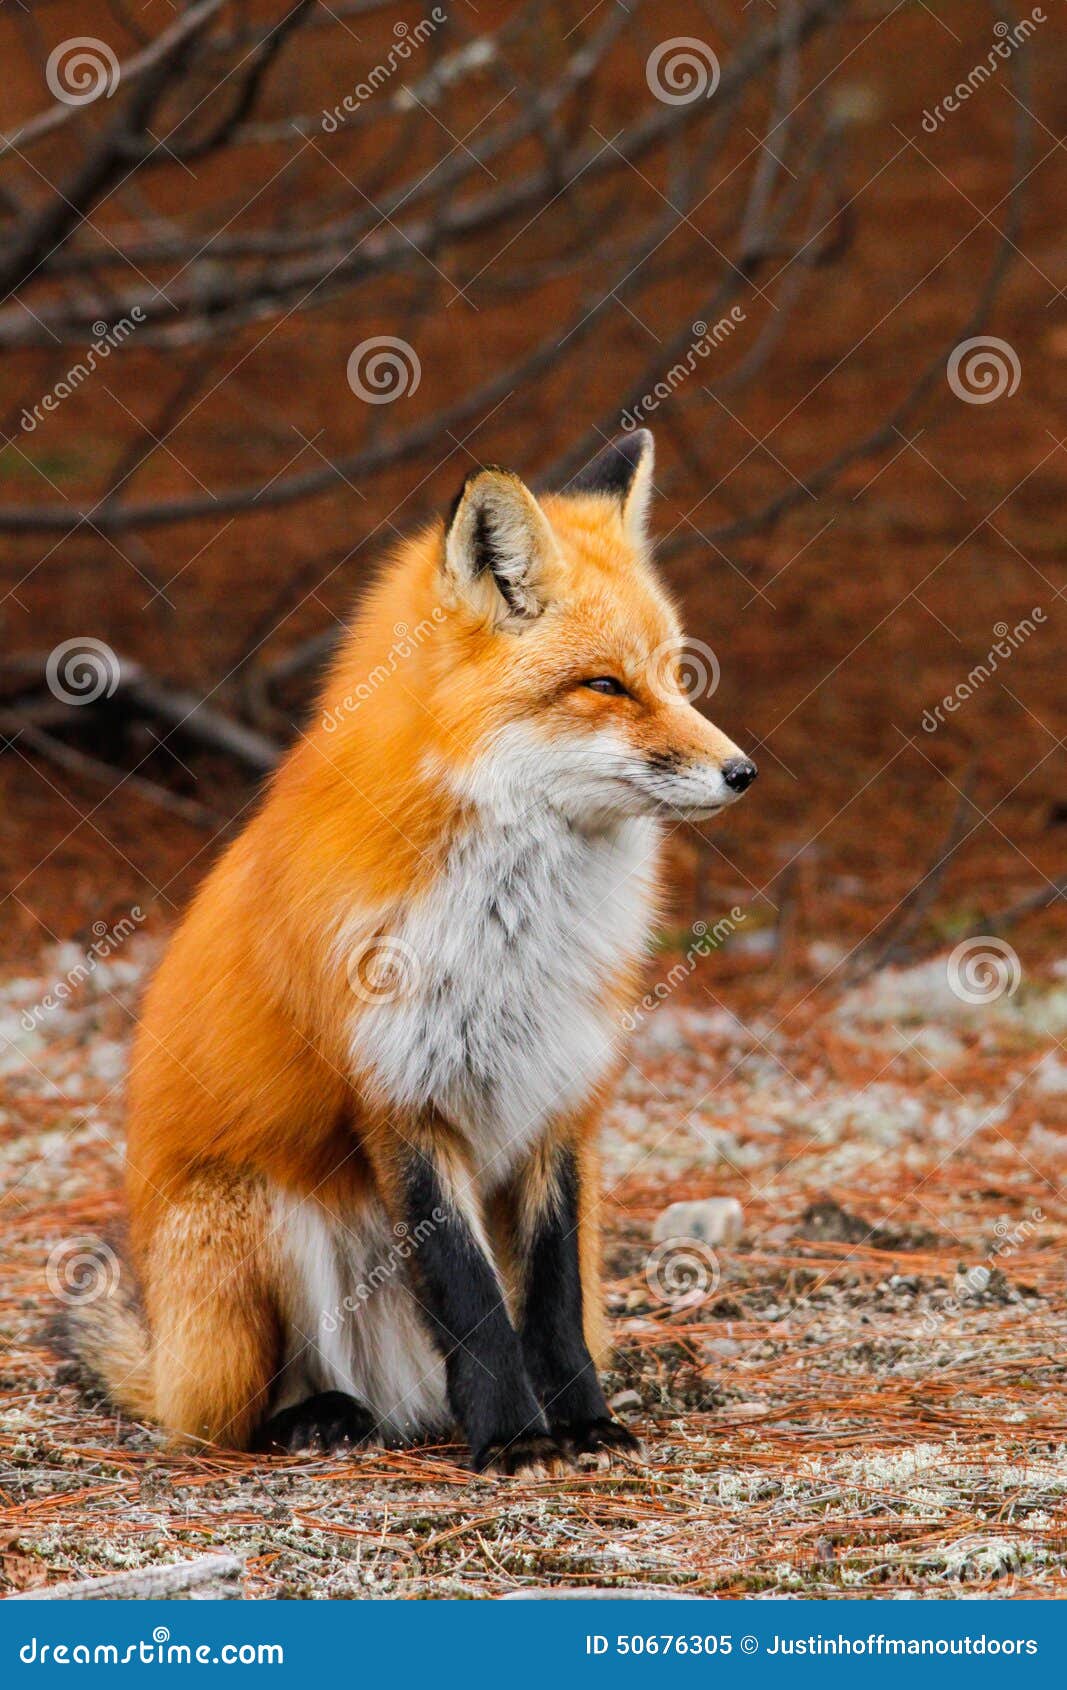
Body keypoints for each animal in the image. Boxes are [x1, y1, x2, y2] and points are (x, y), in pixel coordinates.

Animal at [58, 428, 757, 1476]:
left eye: (677, 675)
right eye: (604, 685)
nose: (740, 772)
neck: (512, 930)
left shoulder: (559, 1099)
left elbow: (550, 1303)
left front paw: (579, 1422)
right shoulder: (403, 1098)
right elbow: (470, 1297)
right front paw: (512, 1436)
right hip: (253, 1231)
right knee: (220, 1425)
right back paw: (315, 1418)